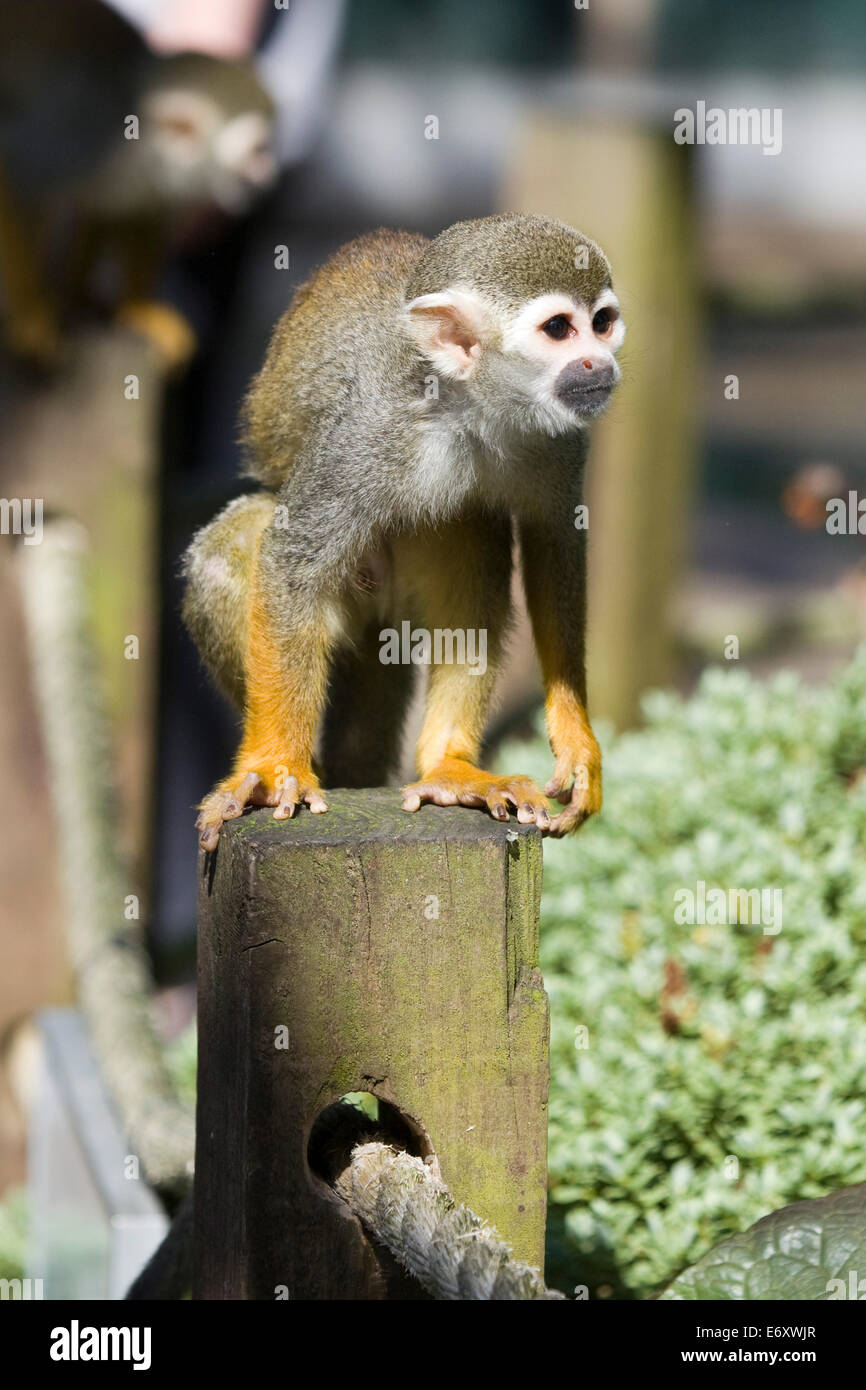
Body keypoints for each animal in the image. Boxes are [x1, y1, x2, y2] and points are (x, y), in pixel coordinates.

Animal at [0, 0, 276, 368]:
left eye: (266, 149)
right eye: (257, 152)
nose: (268, 173)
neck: (136, 148)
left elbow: (128, 213)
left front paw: (134, 308)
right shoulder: (75, 132)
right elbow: (19, 183)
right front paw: (31, 312)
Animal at [182, 213, 626, 846]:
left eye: (602, 323)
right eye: (560, 329)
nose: (599, 364)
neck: (467, 407)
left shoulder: (563, 438)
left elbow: (556, 544)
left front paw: (575, 739)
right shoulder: (367, 429)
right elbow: (292, 558)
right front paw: (273, 768)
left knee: (471, 528)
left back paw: (447, 767)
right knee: (229, 552)